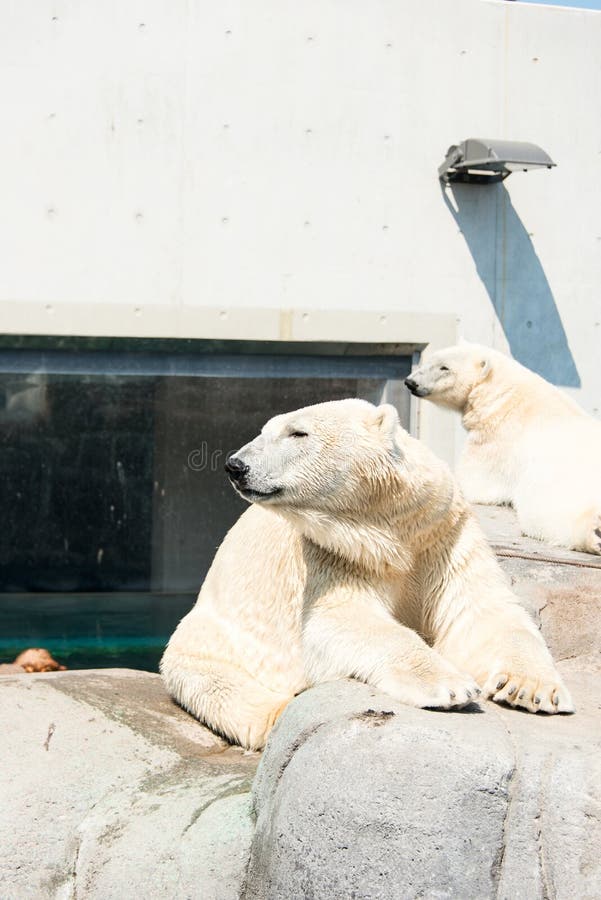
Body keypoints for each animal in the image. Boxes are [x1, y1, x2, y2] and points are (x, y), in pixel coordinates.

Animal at [160, 399, 573, 750]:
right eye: (265, 430)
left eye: (297, 433)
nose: (236, 465)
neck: (391, 532)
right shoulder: (334, 554)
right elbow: (342, 619)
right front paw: (450, 686)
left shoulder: (443, 535)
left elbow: (482, 613)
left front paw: (531, 690)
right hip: (210, 641)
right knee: (222, 687)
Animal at [405, 342, 601, 555]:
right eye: (432, 360)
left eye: (444, 367)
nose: (410, 382)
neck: (501, 396)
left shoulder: (495, 440)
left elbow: (473, 481)